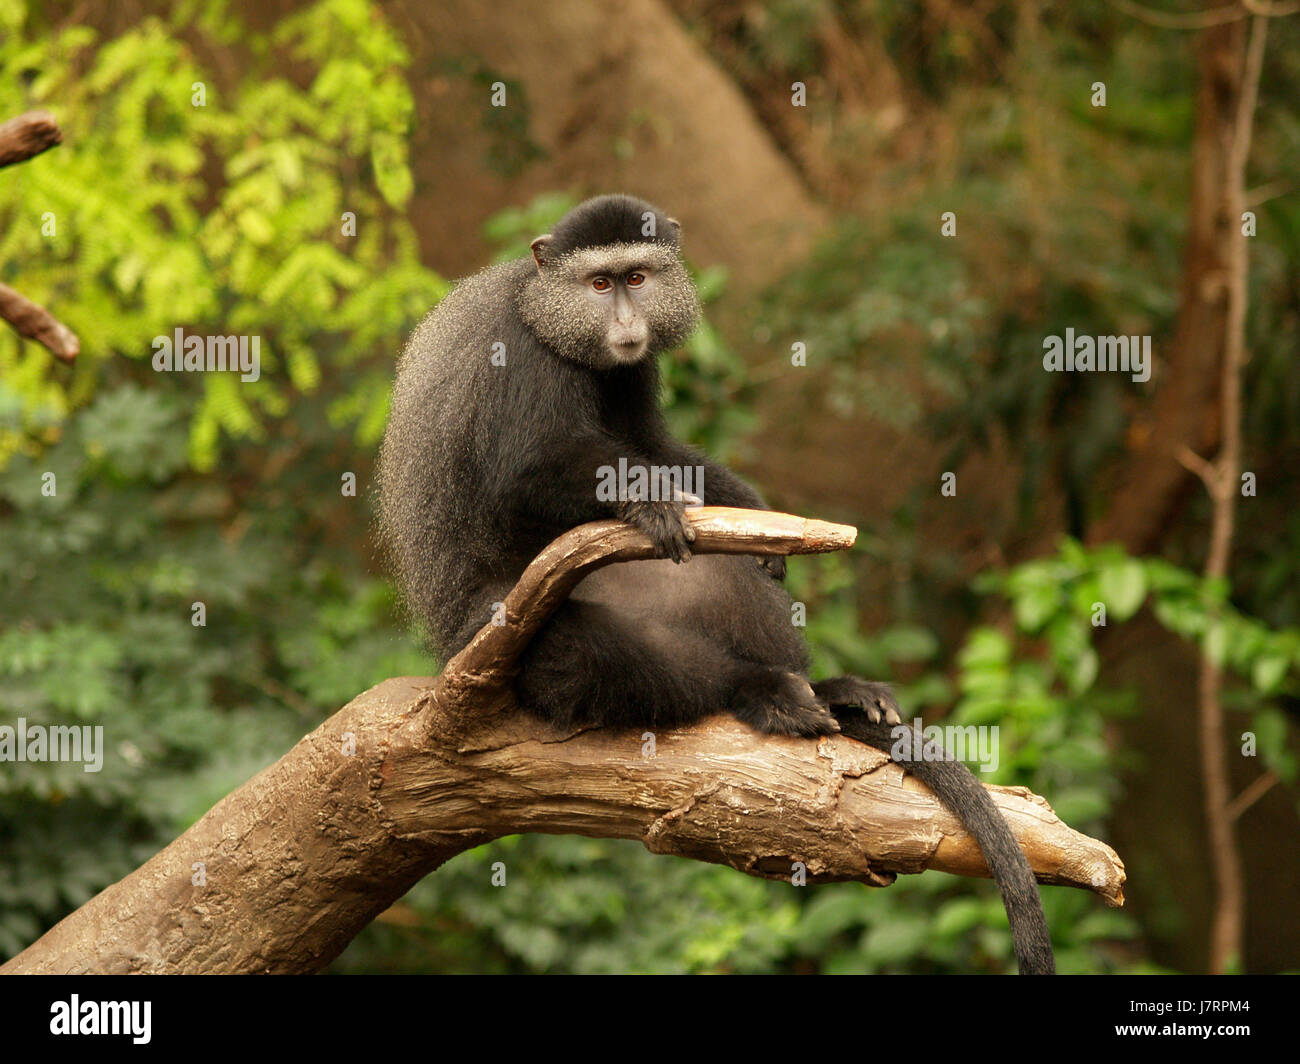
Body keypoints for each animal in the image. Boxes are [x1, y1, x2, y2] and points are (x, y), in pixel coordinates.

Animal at [377, 194, 1054, 975]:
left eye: (638, 278)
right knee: (601, 658)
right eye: (599, 285)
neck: (548, 313)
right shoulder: (520, 359)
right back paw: (758, 693)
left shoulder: (631, 373)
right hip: (506, 636)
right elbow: (523, 477)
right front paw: (645, 498)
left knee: (723, 575)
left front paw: (752, 513)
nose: (626, 323)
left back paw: (827, 691)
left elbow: (658, 447)